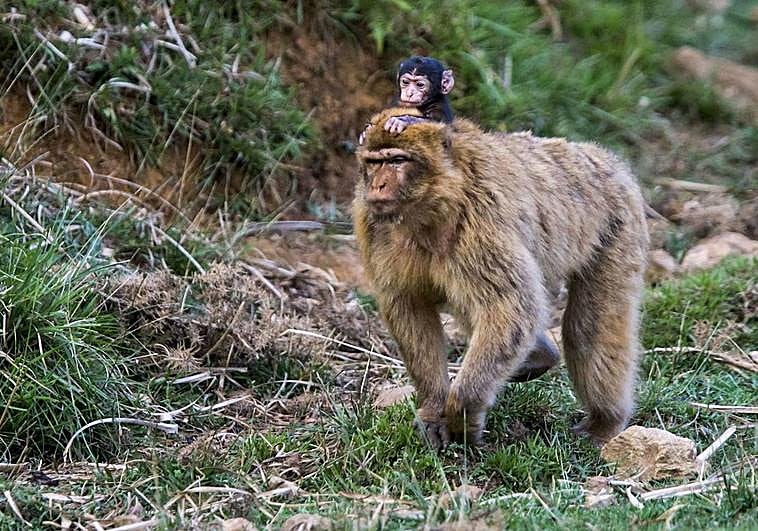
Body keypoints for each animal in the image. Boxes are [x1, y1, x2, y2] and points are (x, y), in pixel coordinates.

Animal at [353, 108, 649, 449]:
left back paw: (605, 420)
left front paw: (463, 411)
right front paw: (434, 408)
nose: (378, 185)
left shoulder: (481, 219)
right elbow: (410, 307)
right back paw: (540, 355)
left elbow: (512, 308)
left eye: (397, 160)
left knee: (587, 328)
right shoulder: (373, 227)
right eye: (374, 163)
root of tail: (602, 157)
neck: (431, 206)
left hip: (618, 226)